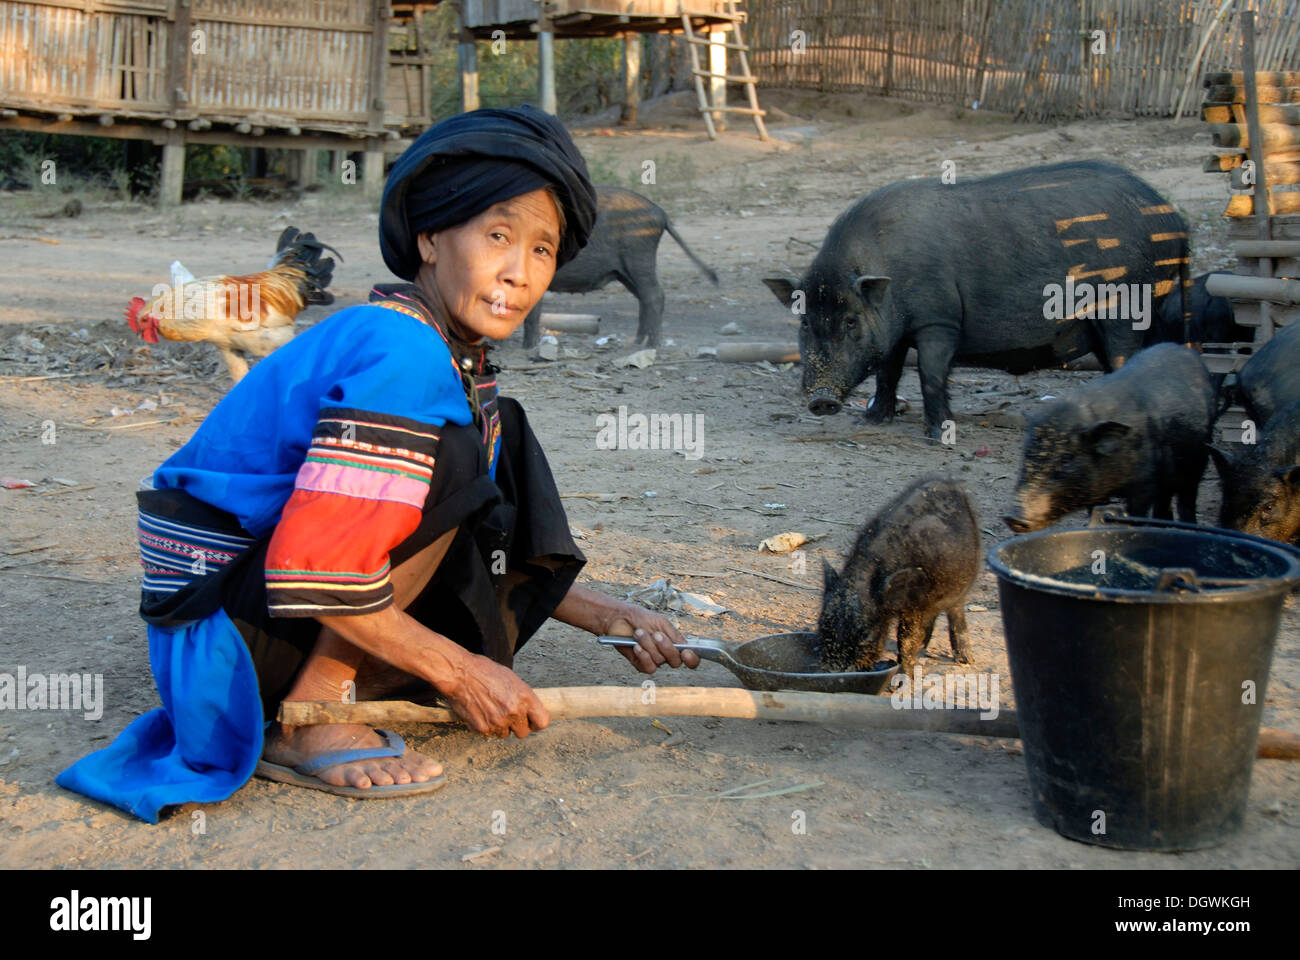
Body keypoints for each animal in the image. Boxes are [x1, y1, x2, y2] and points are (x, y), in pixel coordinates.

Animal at [523, 186, 718, 348]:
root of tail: (661, 213)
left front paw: (529, 347)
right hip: (626, 273)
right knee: (644, 298)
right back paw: (638, 341)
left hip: (639, 261)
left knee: (655, 295)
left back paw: (652, 345)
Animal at [763, 160, 1191, 438]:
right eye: (804, 322)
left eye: (851, 321)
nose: (820, 400)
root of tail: (1175, 220)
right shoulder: (896, 333)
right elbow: (888, 371)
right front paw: (869, 422)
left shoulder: (940, 319)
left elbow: (931, 373)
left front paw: (937, 435)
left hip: (1124, 304)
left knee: (1124, 358)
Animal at [817, 477, 979, 677]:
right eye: (822, 625)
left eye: (866, 637)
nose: (830, 673)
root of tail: (950, 484)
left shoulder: (916, 606)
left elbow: (907, 638)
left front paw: (902, 678)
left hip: (960, 586)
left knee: (956, 612)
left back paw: (965, 660)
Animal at [1004, 343, 1216, 533]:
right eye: (1026, 454)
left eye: (1065, 460)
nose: (1012, 517)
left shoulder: (1145, 483)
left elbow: (1137, 512)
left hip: (1199, 460)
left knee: (1187, 497)